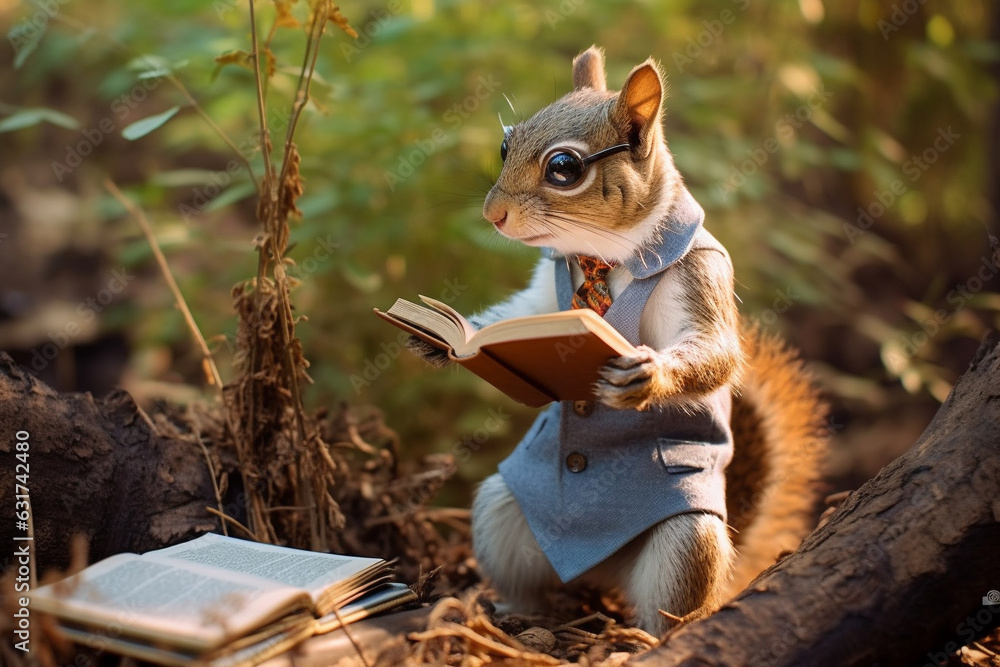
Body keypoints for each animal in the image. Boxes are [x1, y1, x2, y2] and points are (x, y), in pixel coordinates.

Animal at [407, 46, 828, 636]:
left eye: (564, 169)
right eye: (506, 144)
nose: (493, 215)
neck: (603, 255)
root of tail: (603, 575)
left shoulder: (700, 275)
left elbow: (716, 349)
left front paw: (648, 373)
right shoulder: (545, 295)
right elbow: (520, 314)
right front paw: (451, 335)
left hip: (684, 540)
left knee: (672, 605)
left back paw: (647, 636)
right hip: (501, 507)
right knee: (530, 576)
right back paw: (512, 611)